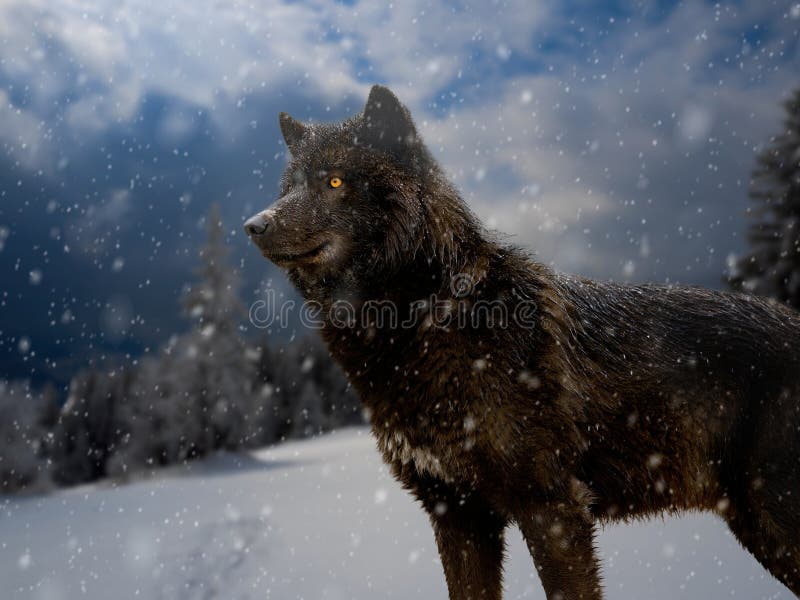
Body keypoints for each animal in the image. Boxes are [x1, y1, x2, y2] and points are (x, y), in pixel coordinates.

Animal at [245, 85, 800, 599]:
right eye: (289, 187)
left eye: (335, 181)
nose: (253, 225)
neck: (428, 318)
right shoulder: (456, 515)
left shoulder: (551, 507)